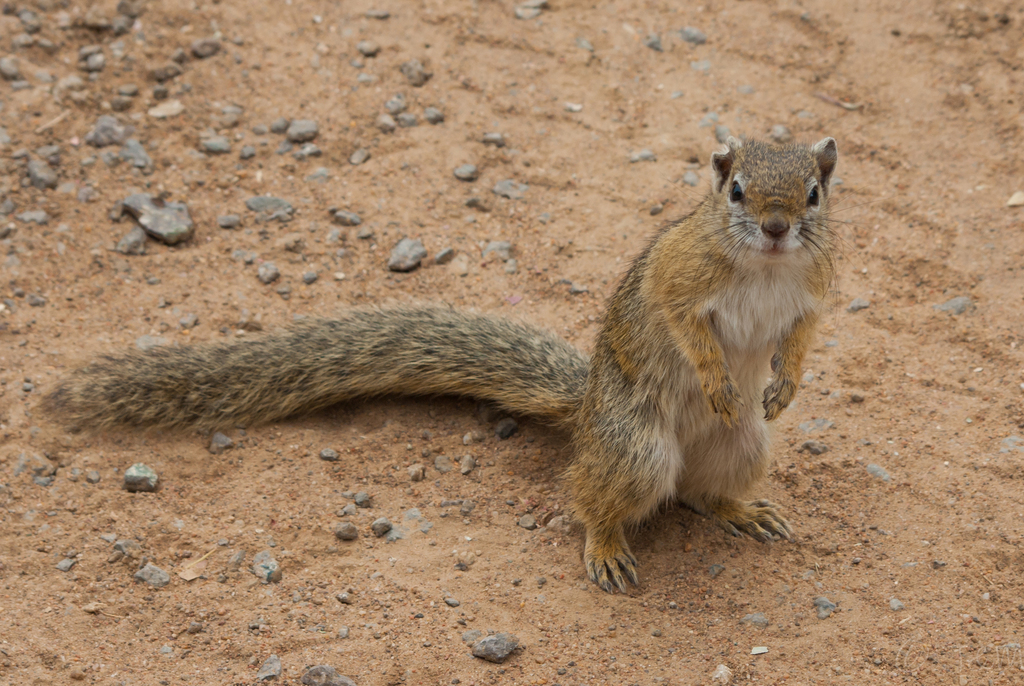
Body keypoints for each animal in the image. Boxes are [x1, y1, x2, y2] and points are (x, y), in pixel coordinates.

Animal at [44, 136, 838, 593]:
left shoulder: (811, 293)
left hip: (742, 449)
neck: (766, 266)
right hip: (634, 447)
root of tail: (585, 409)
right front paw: (719, 381)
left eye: (814, 192)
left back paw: (742, 508)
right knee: (591, 494)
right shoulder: (678, 281)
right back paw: (606, 545)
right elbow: (686, 328)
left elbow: (802, 335)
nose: (775, 227)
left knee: (698, 493)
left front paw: (785, 385)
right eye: (735, 190)